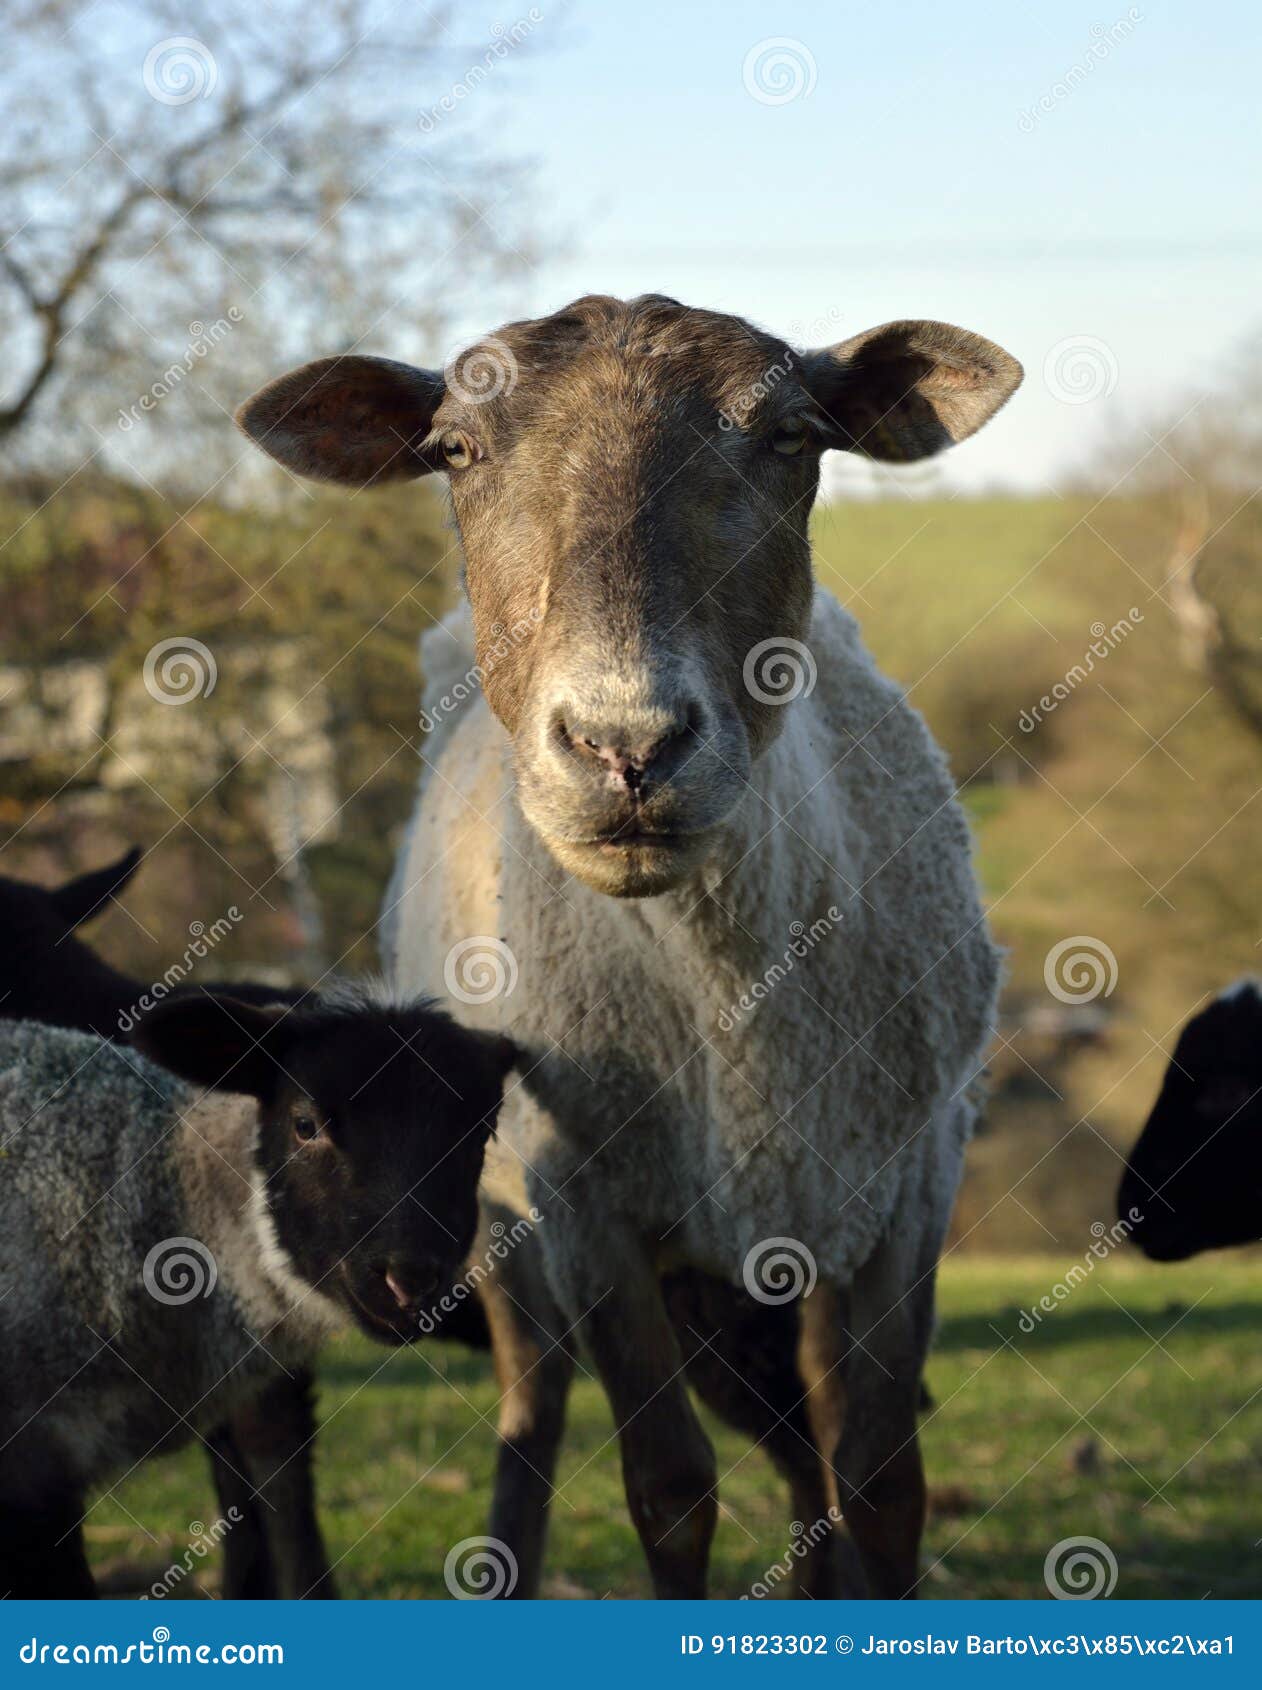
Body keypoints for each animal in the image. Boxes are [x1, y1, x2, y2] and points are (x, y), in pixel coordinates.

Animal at [238, 294, 1020, 1598]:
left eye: (792, 435)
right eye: (454, 450)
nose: (626, 746)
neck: (732, 996)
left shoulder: (911, 1171)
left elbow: (875, 1479)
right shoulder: (588, 1198)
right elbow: (669, 1488)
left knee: (798, 1445)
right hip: (498, 1213)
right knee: (532, 1404)